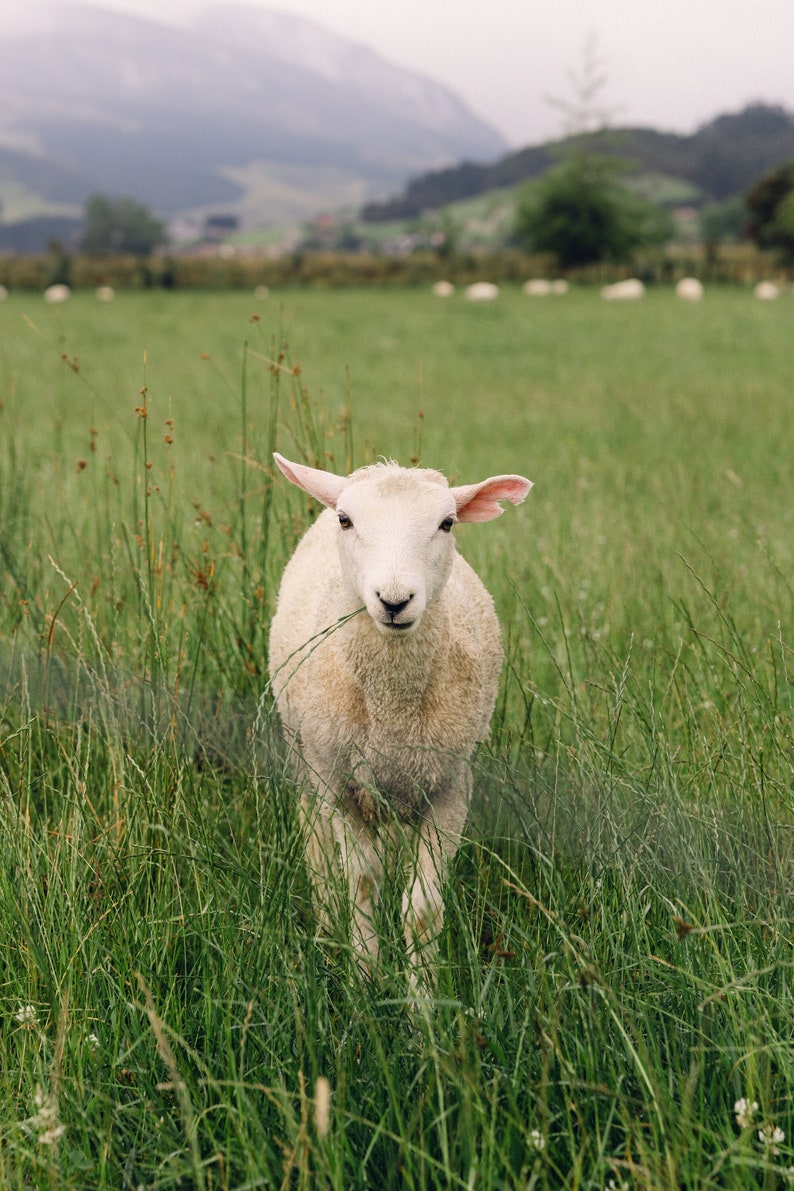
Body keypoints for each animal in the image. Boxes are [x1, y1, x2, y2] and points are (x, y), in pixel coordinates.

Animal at [268, 452, 532, 987]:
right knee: (317, 846)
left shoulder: (450, 789)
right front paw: (364, 982)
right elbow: (363, 886)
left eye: (447, 523)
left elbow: (422, 910)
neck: (391, 705)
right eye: (346, 520)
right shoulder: (343, 790)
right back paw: (326, 929)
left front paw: (422, 999)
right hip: (306, 756)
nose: (394, 600)